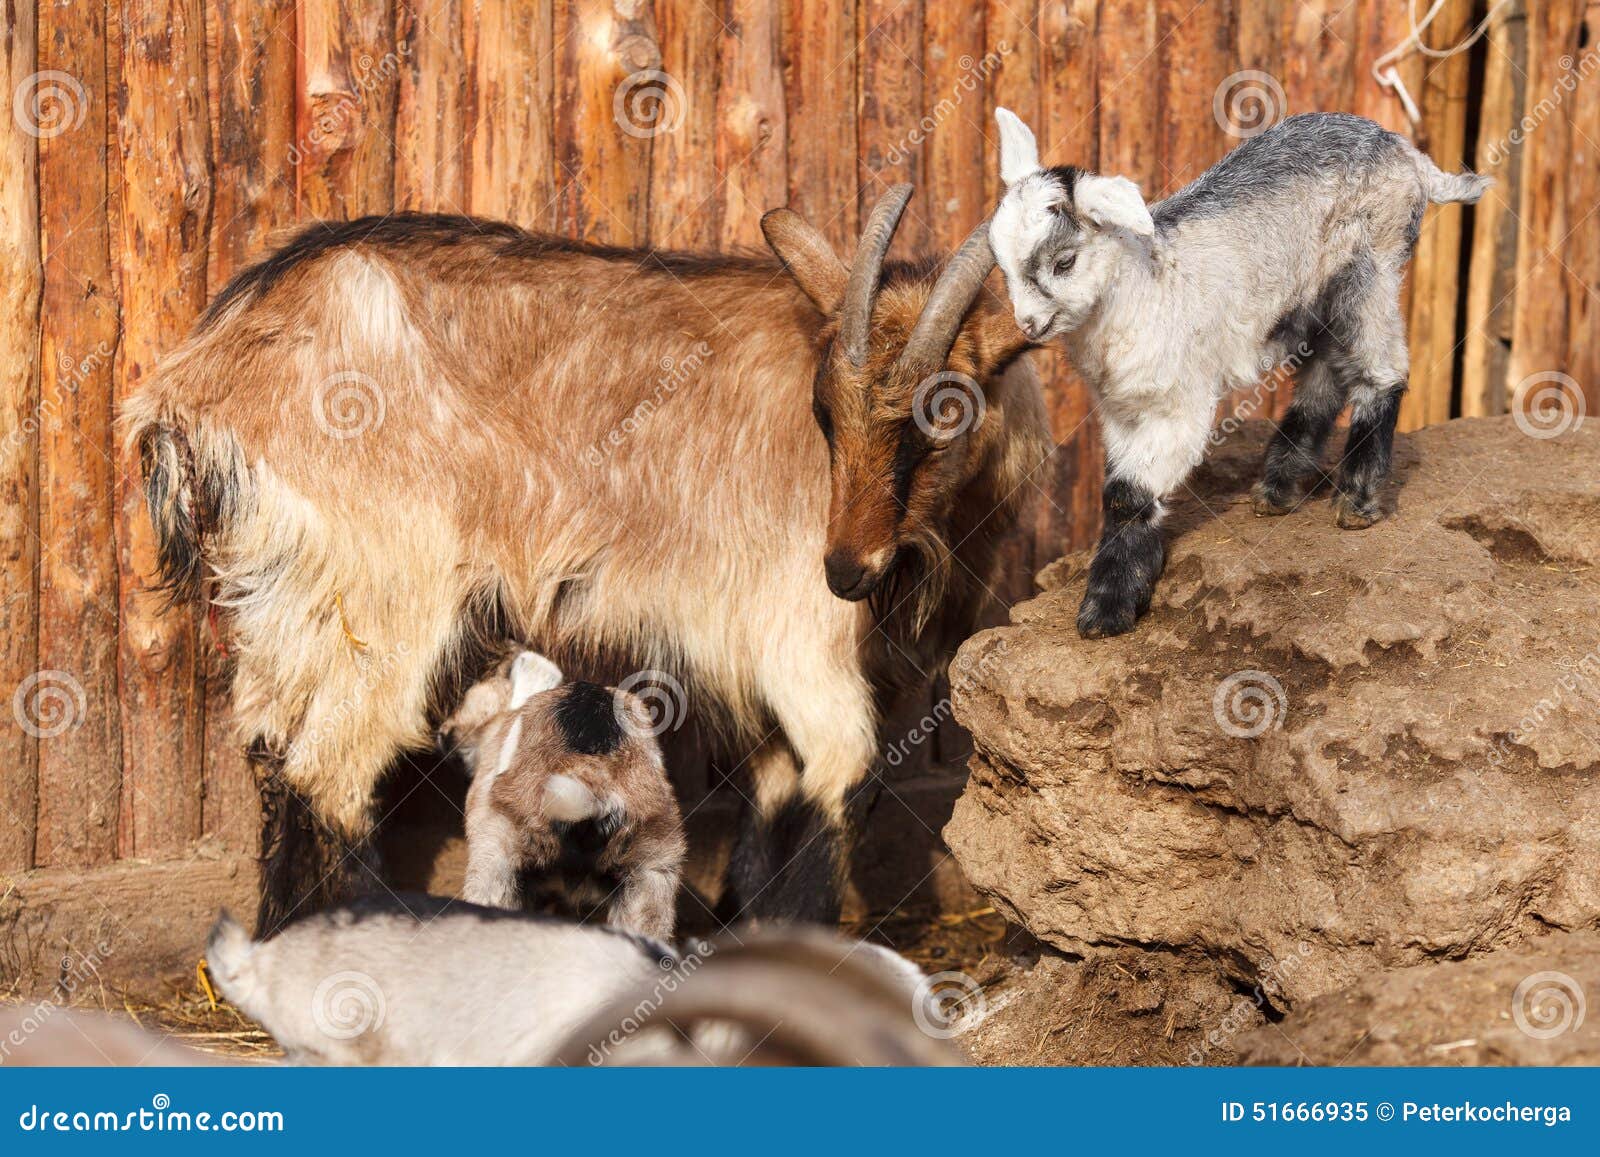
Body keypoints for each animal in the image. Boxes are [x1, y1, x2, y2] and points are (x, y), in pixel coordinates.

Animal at [988, 109, 1490, 638]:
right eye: (1001, 265)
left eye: (1064, 262)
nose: (1028, 324)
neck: (1148, 282)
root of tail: (1404, 150)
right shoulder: (1121, 409)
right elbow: (1119, 492)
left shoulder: (1179, 405)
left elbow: (1130, 492)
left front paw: (1108, 607)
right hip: (1316, 295)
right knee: (1325, 374)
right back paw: (1277, 488)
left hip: (1372, 265)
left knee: (1383, 367)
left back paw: (1355, 501)